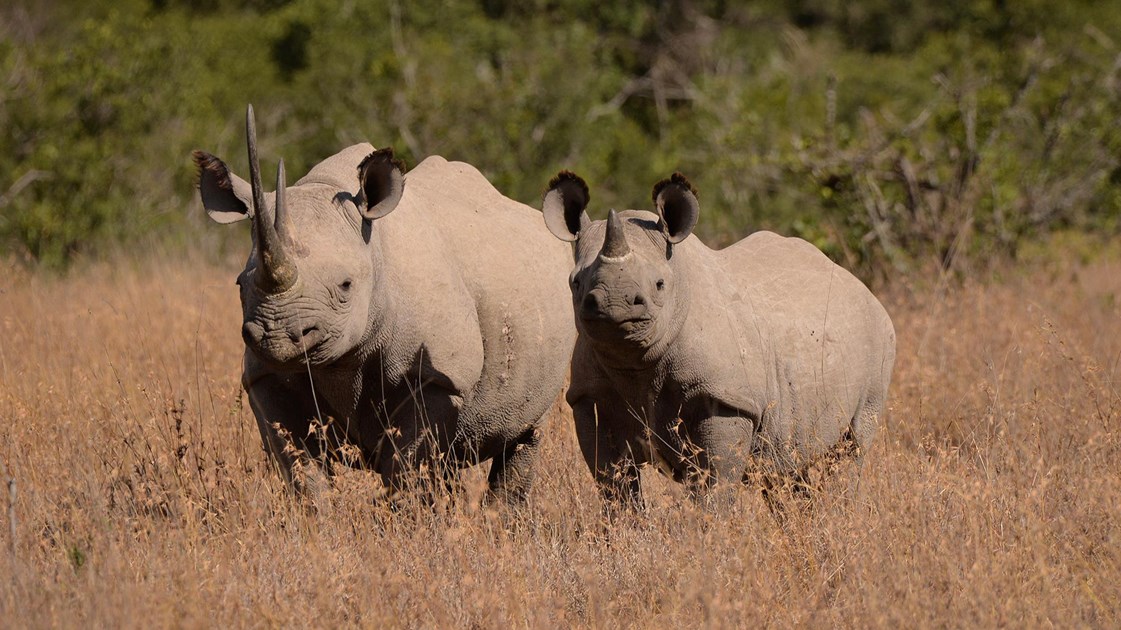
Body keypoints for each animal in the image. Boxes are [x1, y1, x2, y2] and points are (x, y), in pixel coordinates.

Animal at [191, 106, 575, 502]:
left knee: (525, 435)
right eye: (240, 285)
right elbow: (303, 473)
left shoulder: (437, 379)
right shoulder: (264, 375)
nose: (278, 337)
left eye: (345, 286)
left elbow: (408, 472)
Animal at [541, 171, 896, 506]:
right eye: (575, 283)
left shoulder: (726, 399)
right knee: (785, 469)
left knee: (851, 449)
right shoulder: (590, 395)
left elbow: (713, 486)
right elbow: (613, 485)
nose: (613, 304)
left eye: (659, 284)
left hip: (879, 339)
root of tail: (863, 288)